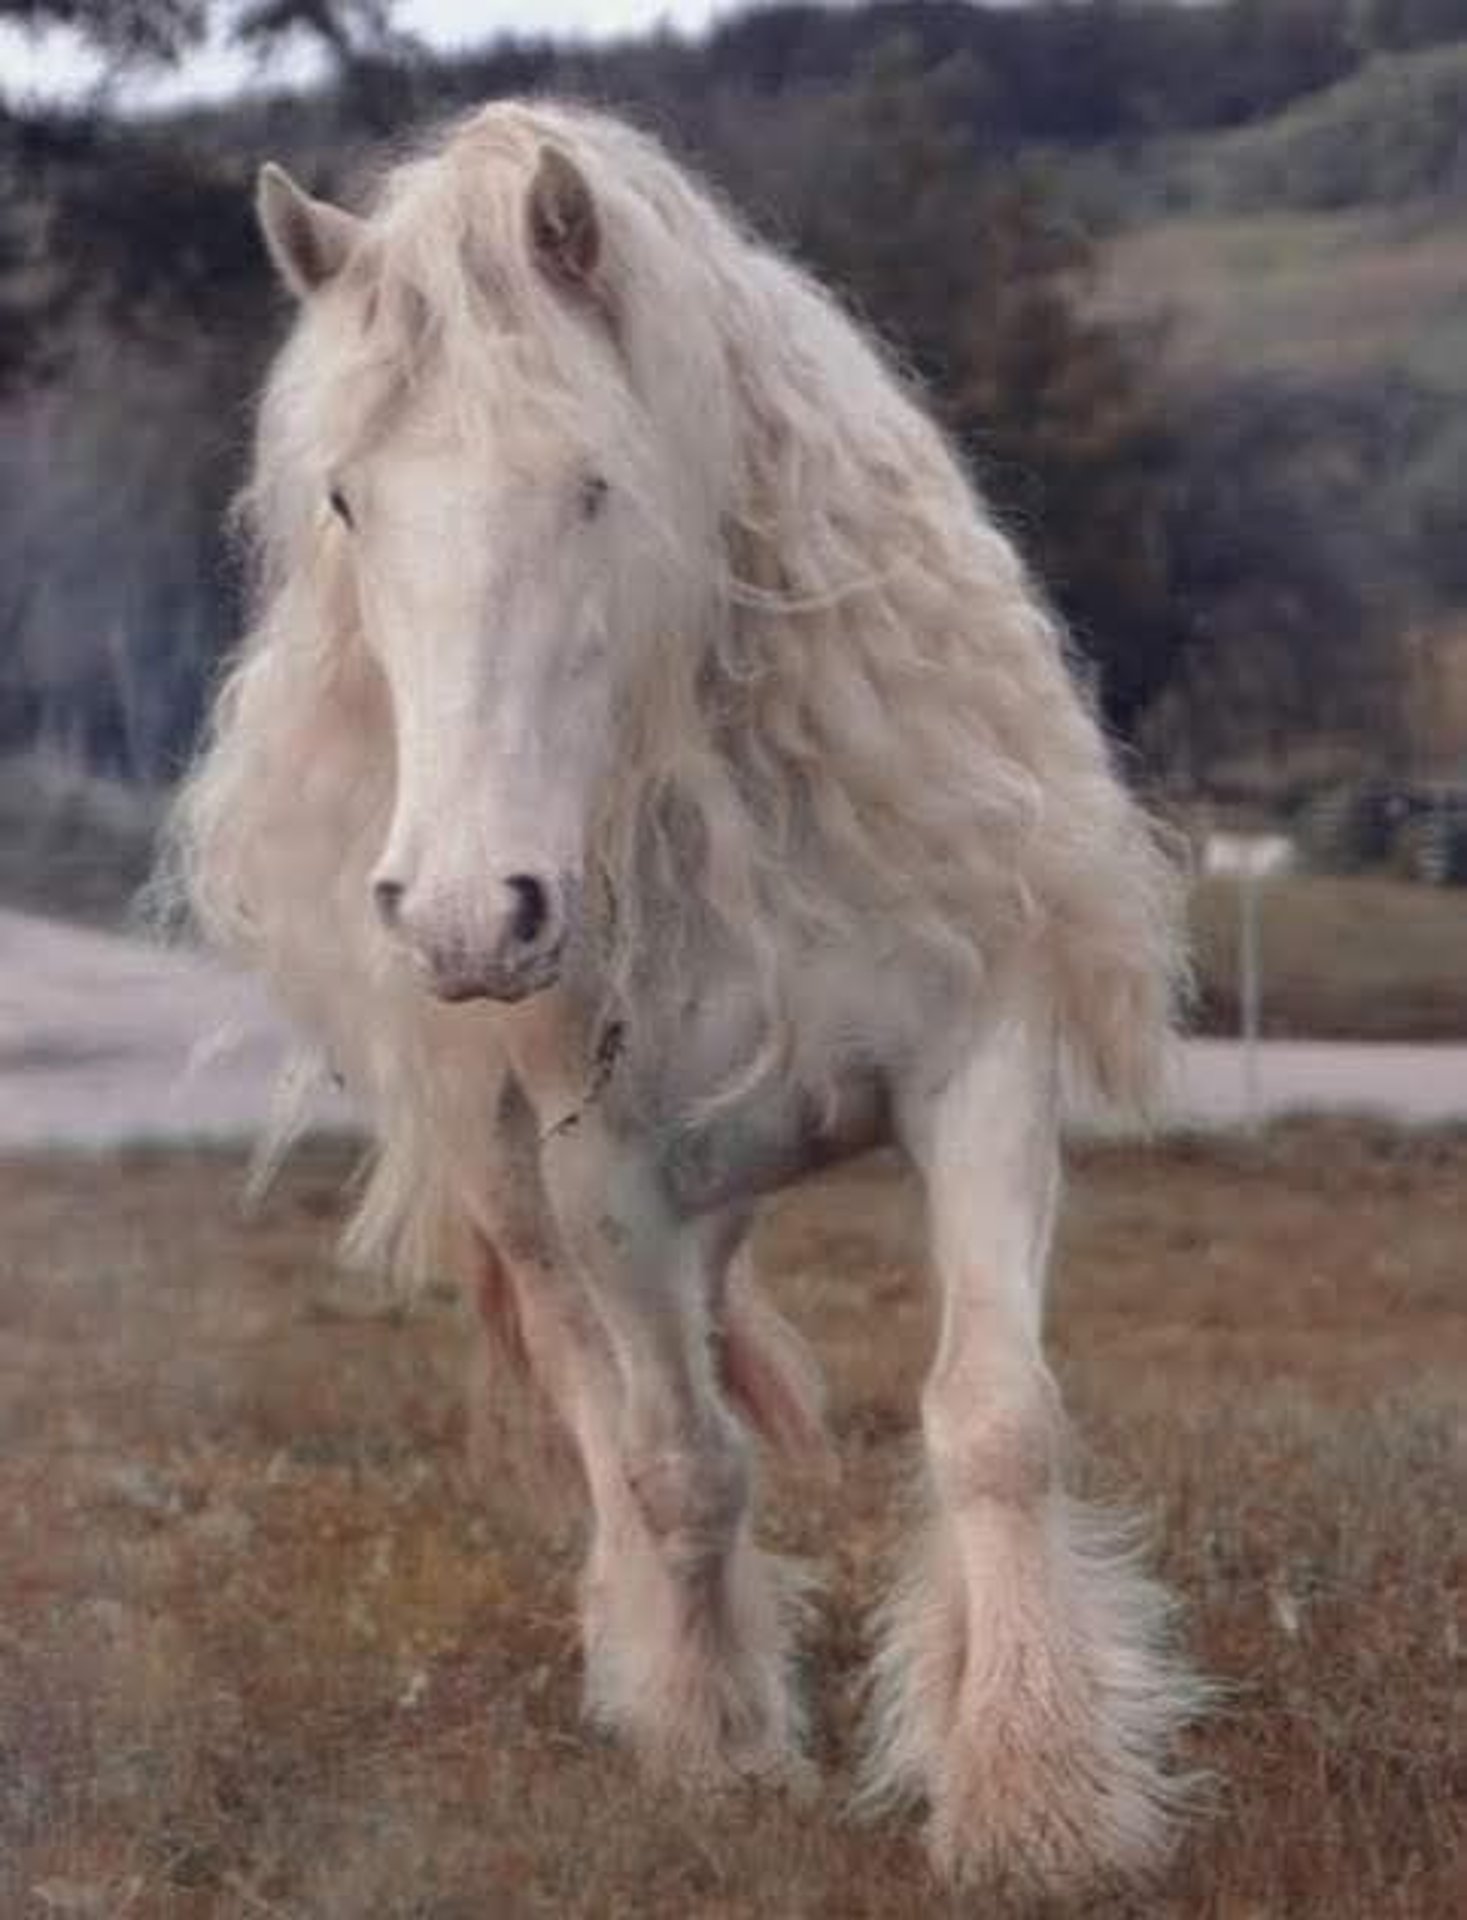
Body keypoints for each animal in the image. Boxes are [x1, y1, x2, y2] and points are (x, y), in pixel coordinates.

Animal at [168, 98, 1199, 1897]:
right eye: (347, 501)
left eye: (591, 484)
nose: (467, 914)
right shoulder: (605, 1176)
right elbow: (672, 1465)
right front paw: (713, 1741)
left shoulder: (977, 1068)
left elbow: (990, 1420)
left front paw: (1028, 1784)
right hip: (523, 1191)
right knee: (601, 1406)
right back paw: (645, 1655)